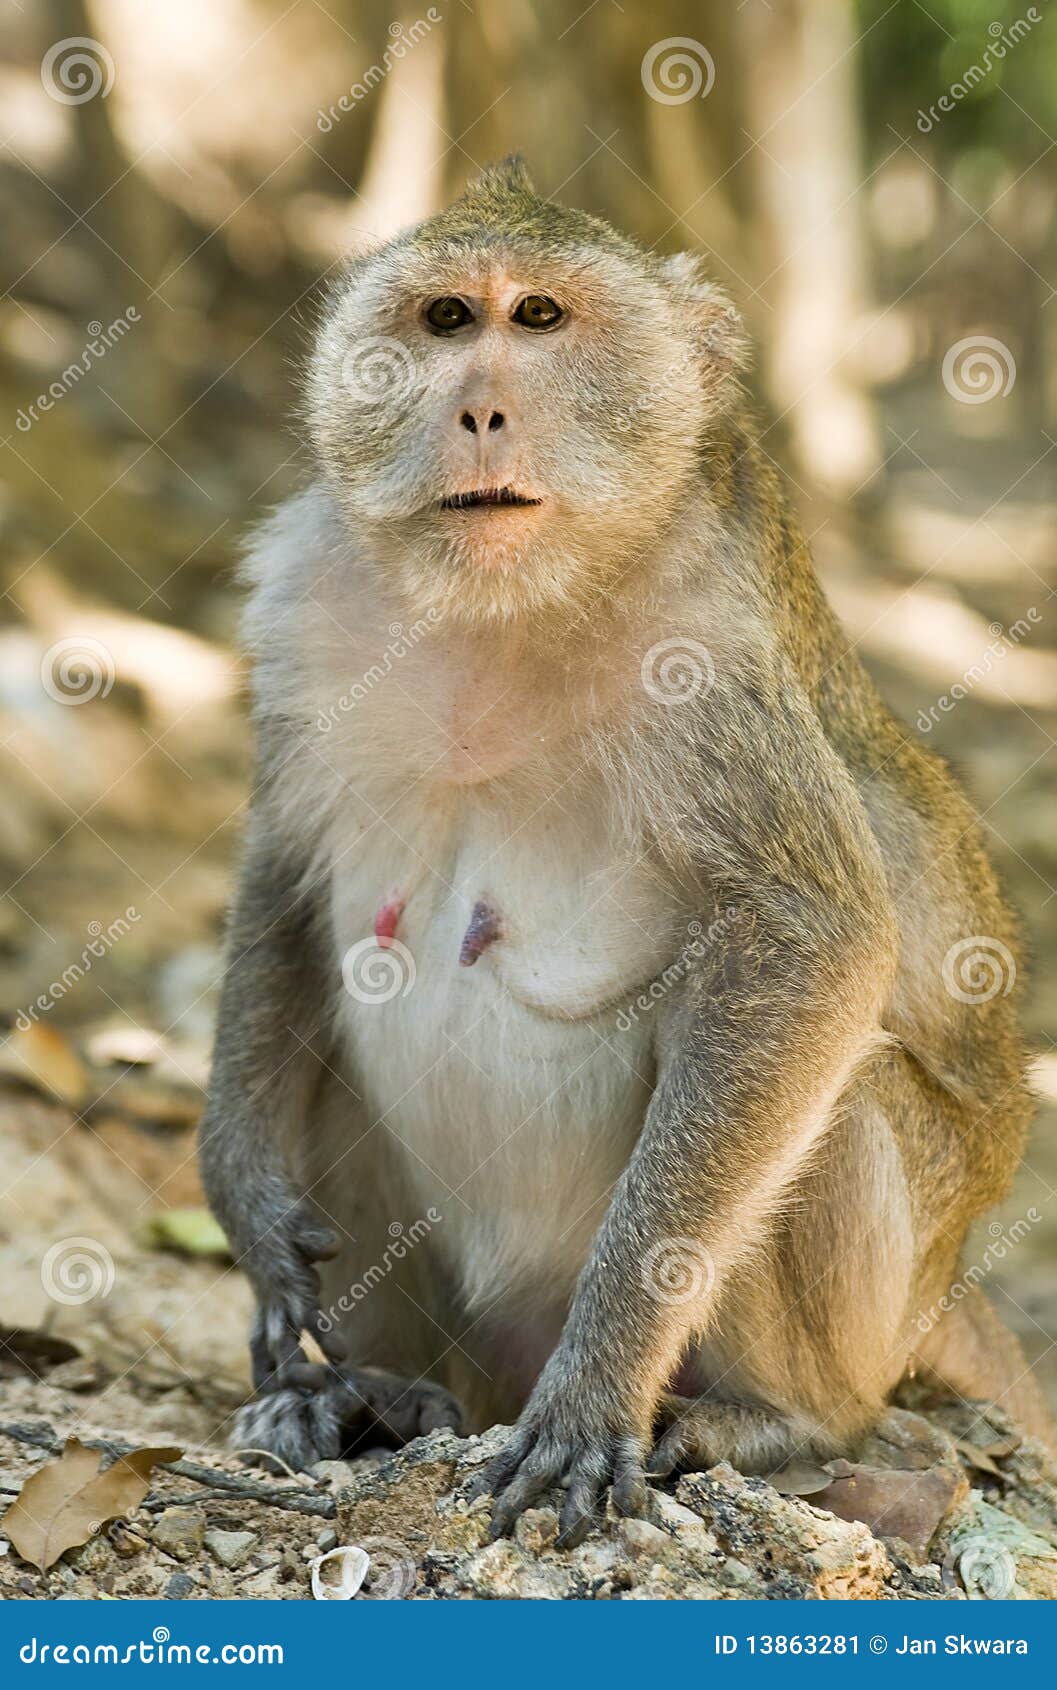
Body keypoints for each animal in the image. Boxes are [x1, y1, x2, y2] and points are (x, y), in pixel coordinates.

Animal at [199, 157, 1053, 1549]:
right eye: (447, 320)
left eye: (540, 318)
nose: (481, 408)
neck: (508, 603)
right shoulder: (298, 595)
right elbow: (282, 873)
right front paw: (246, 1204)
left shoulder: (707, 660)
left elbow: (808, 950)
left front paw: (598, 1385)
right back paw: (370, 1396)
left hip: (882, 1308)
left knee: (838, 1089)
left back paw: (781, 1420)